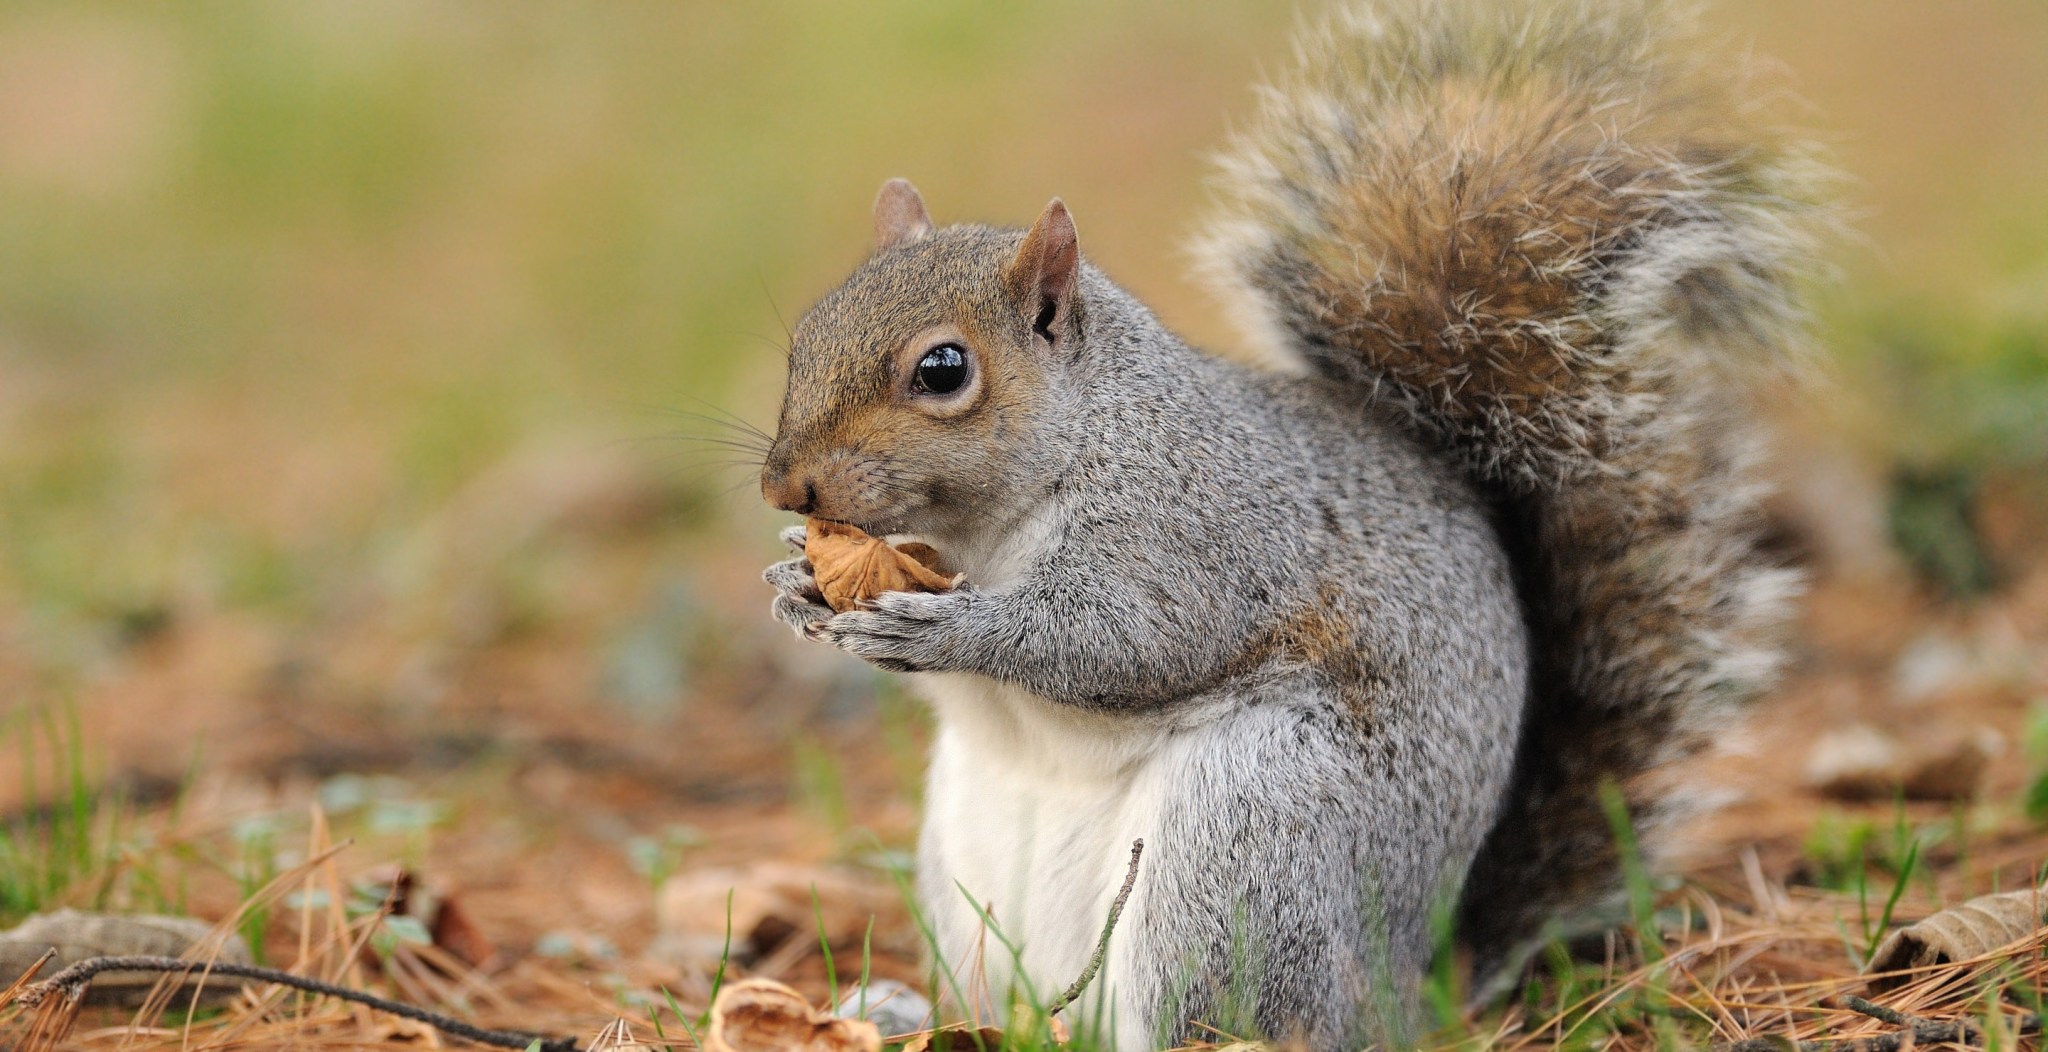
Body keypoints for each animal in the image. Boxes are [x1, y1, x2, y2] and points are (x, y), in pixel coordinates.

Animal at [757, 0, 1830, 1047]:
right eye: (803, 336)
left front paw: (949, 629)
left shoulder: (1196, 527)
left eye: (943, 370)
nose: (784, 489)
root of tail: (1408, 987)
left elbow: (1131, 638)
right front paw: (796, 583)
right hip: (972, 879)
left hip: (1248, 843)